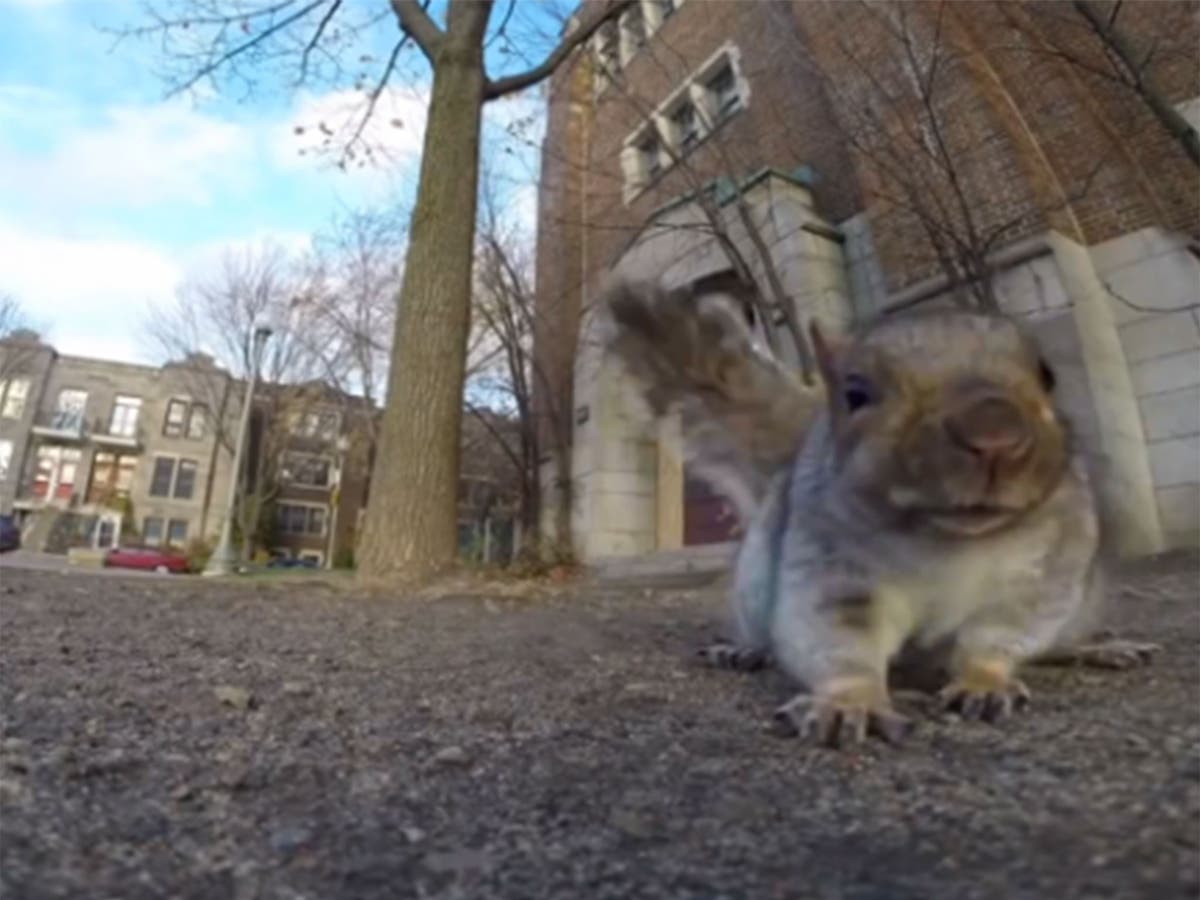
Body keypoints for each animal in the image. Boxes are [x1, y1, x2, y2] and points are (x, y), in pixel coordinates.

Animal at [604, 276, 1159, 748]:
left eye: (1048, 376)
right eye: (856, 393)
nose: (994, 434)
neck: (947, 541)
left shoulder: (1042, 574)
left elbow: (1001, 634)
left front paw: (984, 682)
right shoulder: (832, 572)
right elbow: (838, 638)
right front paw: (850, 702)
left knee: (1053, 640)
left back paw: (1094, 648)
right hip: (755, 584)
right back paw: (745, 649)